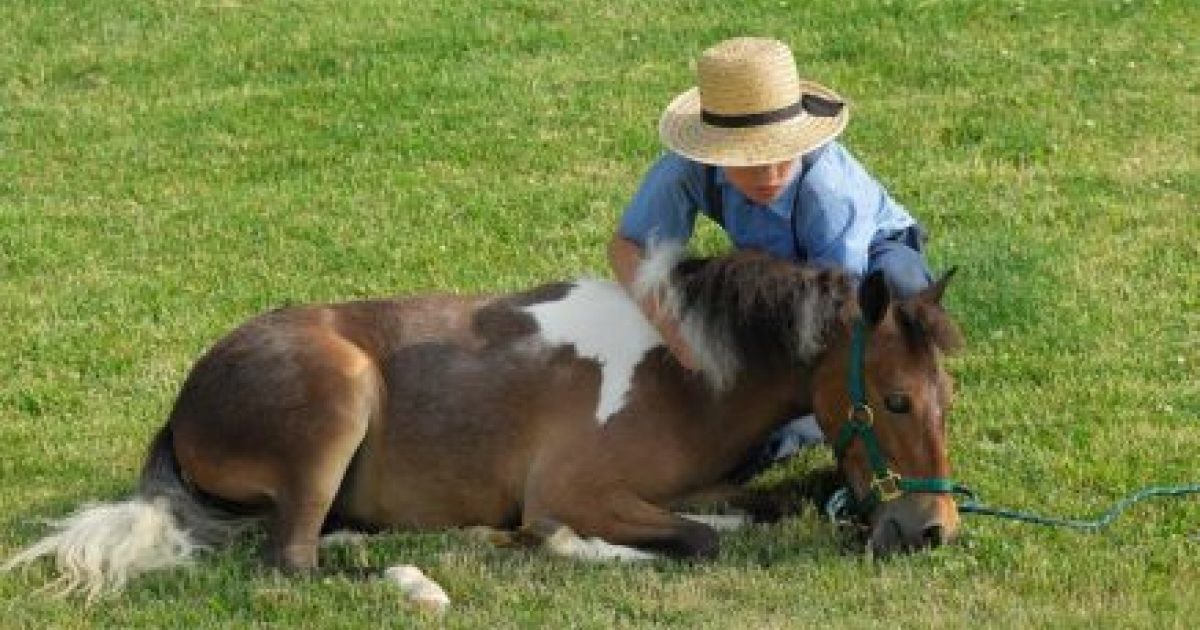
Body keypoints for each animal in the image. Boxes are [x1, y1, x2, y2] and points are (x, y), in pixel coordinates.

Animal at [3, 245, 964, 600]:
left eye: (945, 398)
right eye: (895, 399)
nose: (934, 530)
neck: (685, 373)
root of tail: (187, 400)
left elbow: (749, 509)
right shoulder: (575, 491)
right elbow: (688, 541)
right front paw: (566, 547)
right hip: (339, 400)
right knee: (292, 564)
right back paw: (416, 577)